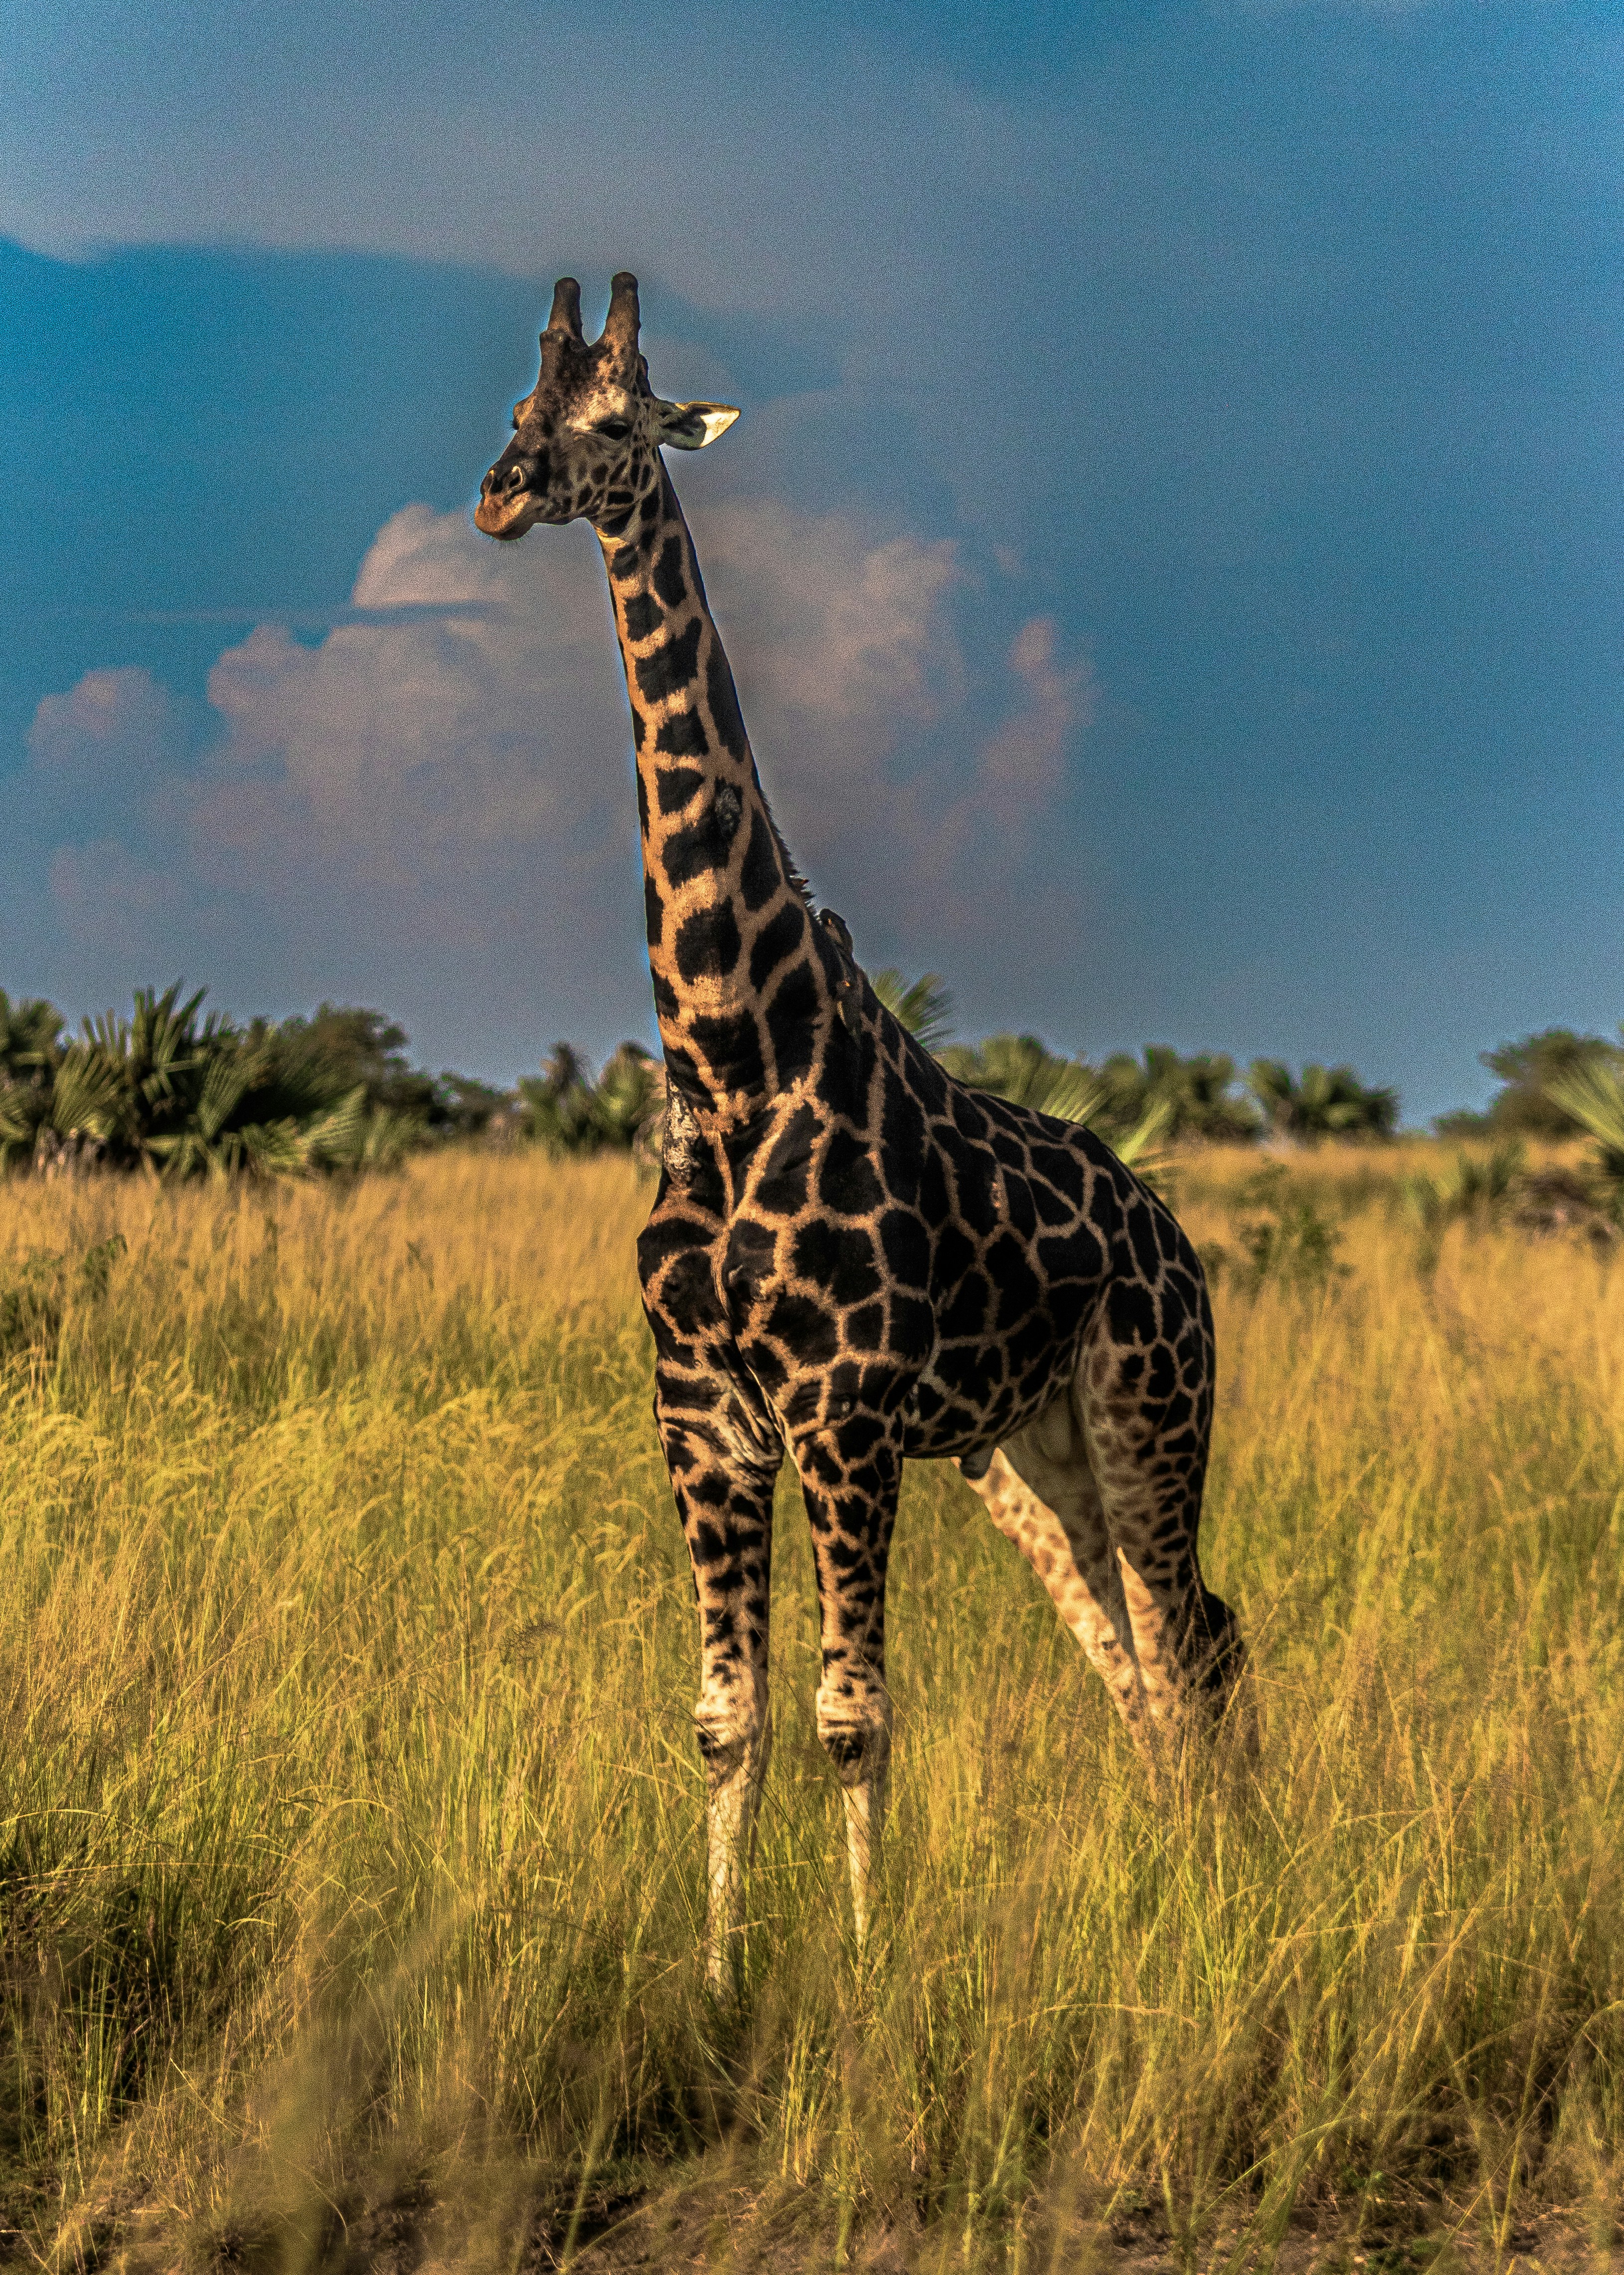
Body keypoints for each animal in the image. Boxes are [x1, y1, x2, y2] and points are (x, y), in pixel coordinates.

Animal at [476, 274, 1244, 1984]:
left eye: (620, 420)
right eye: (518, 409)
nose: (498, 496)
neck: (729, 1051)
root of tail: (1175, 1241)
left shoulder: (842, 1412)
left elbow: (852, 1717)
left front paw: (870, 1973)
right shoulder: (703, 1415)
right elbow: (725, 1717)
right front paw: (717, 1978)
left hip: (1149, 1409)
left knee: (1194, 1636)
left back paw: (1219, 1888)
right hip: (1026, 1454)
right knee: (1136, 1654)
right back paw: (1174, 1874)